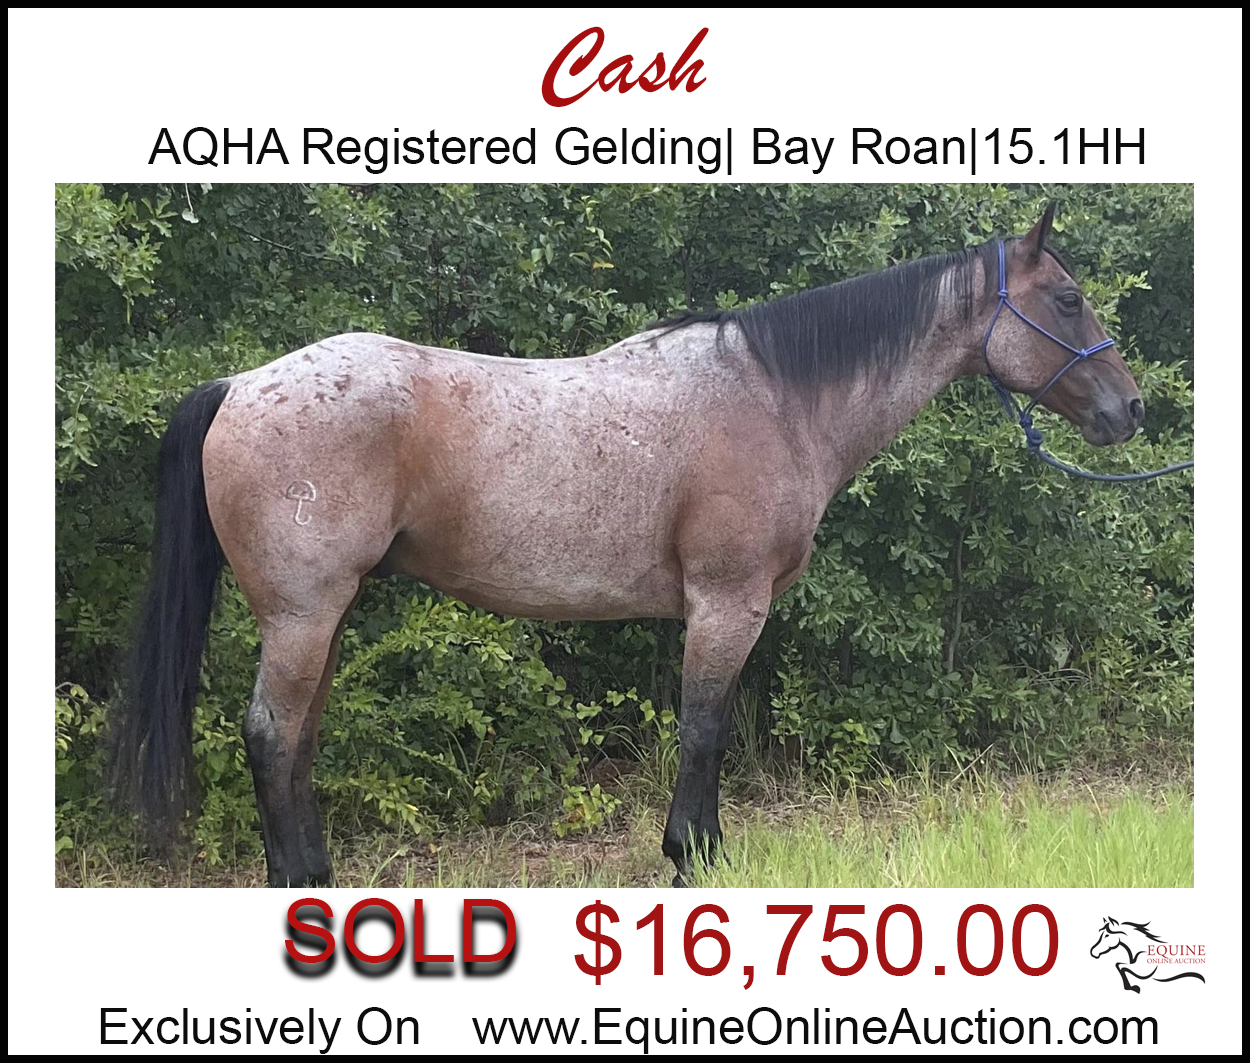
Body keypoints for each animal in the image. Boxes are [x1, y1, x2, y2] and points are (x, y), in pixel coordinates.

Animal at [113, 205, 1149, 887]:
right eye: (1067, 298)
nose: (1131, 408)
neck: (774, 398)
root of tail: (241, 385)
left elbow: (711, 728)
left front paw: (707, 850)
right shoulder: (727, 603)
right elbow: (703, 727)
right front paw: (691, 857)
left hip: (325, 616)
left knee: (299, 740)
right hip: (302, 613)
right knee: (270, 733)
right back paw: (301, 886)